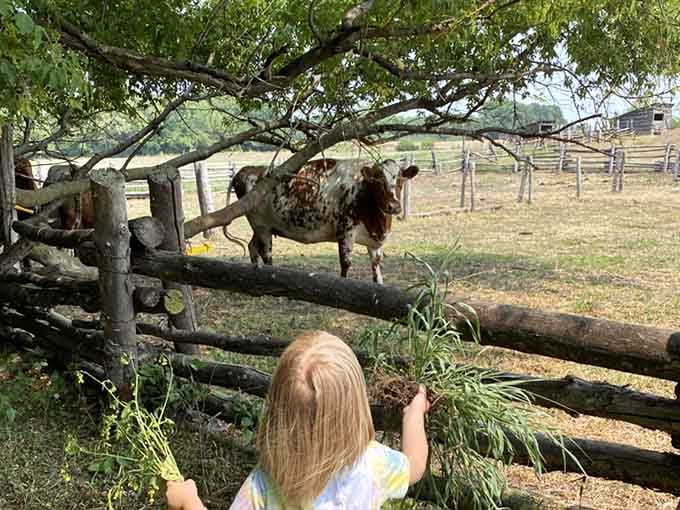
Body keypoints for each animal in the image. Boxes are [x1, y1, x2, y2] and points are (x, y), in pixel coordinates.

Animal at [229, 158, 419, 284]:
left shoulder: (373, 238)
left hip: (261, 227)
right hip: (262, 226)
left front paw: (379, 286)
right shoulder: (345, 230)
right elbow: (346, 262)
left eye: (401, 179)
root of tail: (248, 170)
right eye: (378, 181)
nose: (393, 206)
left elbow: (376, 263)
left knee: (253, 247)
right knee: (266, 254)